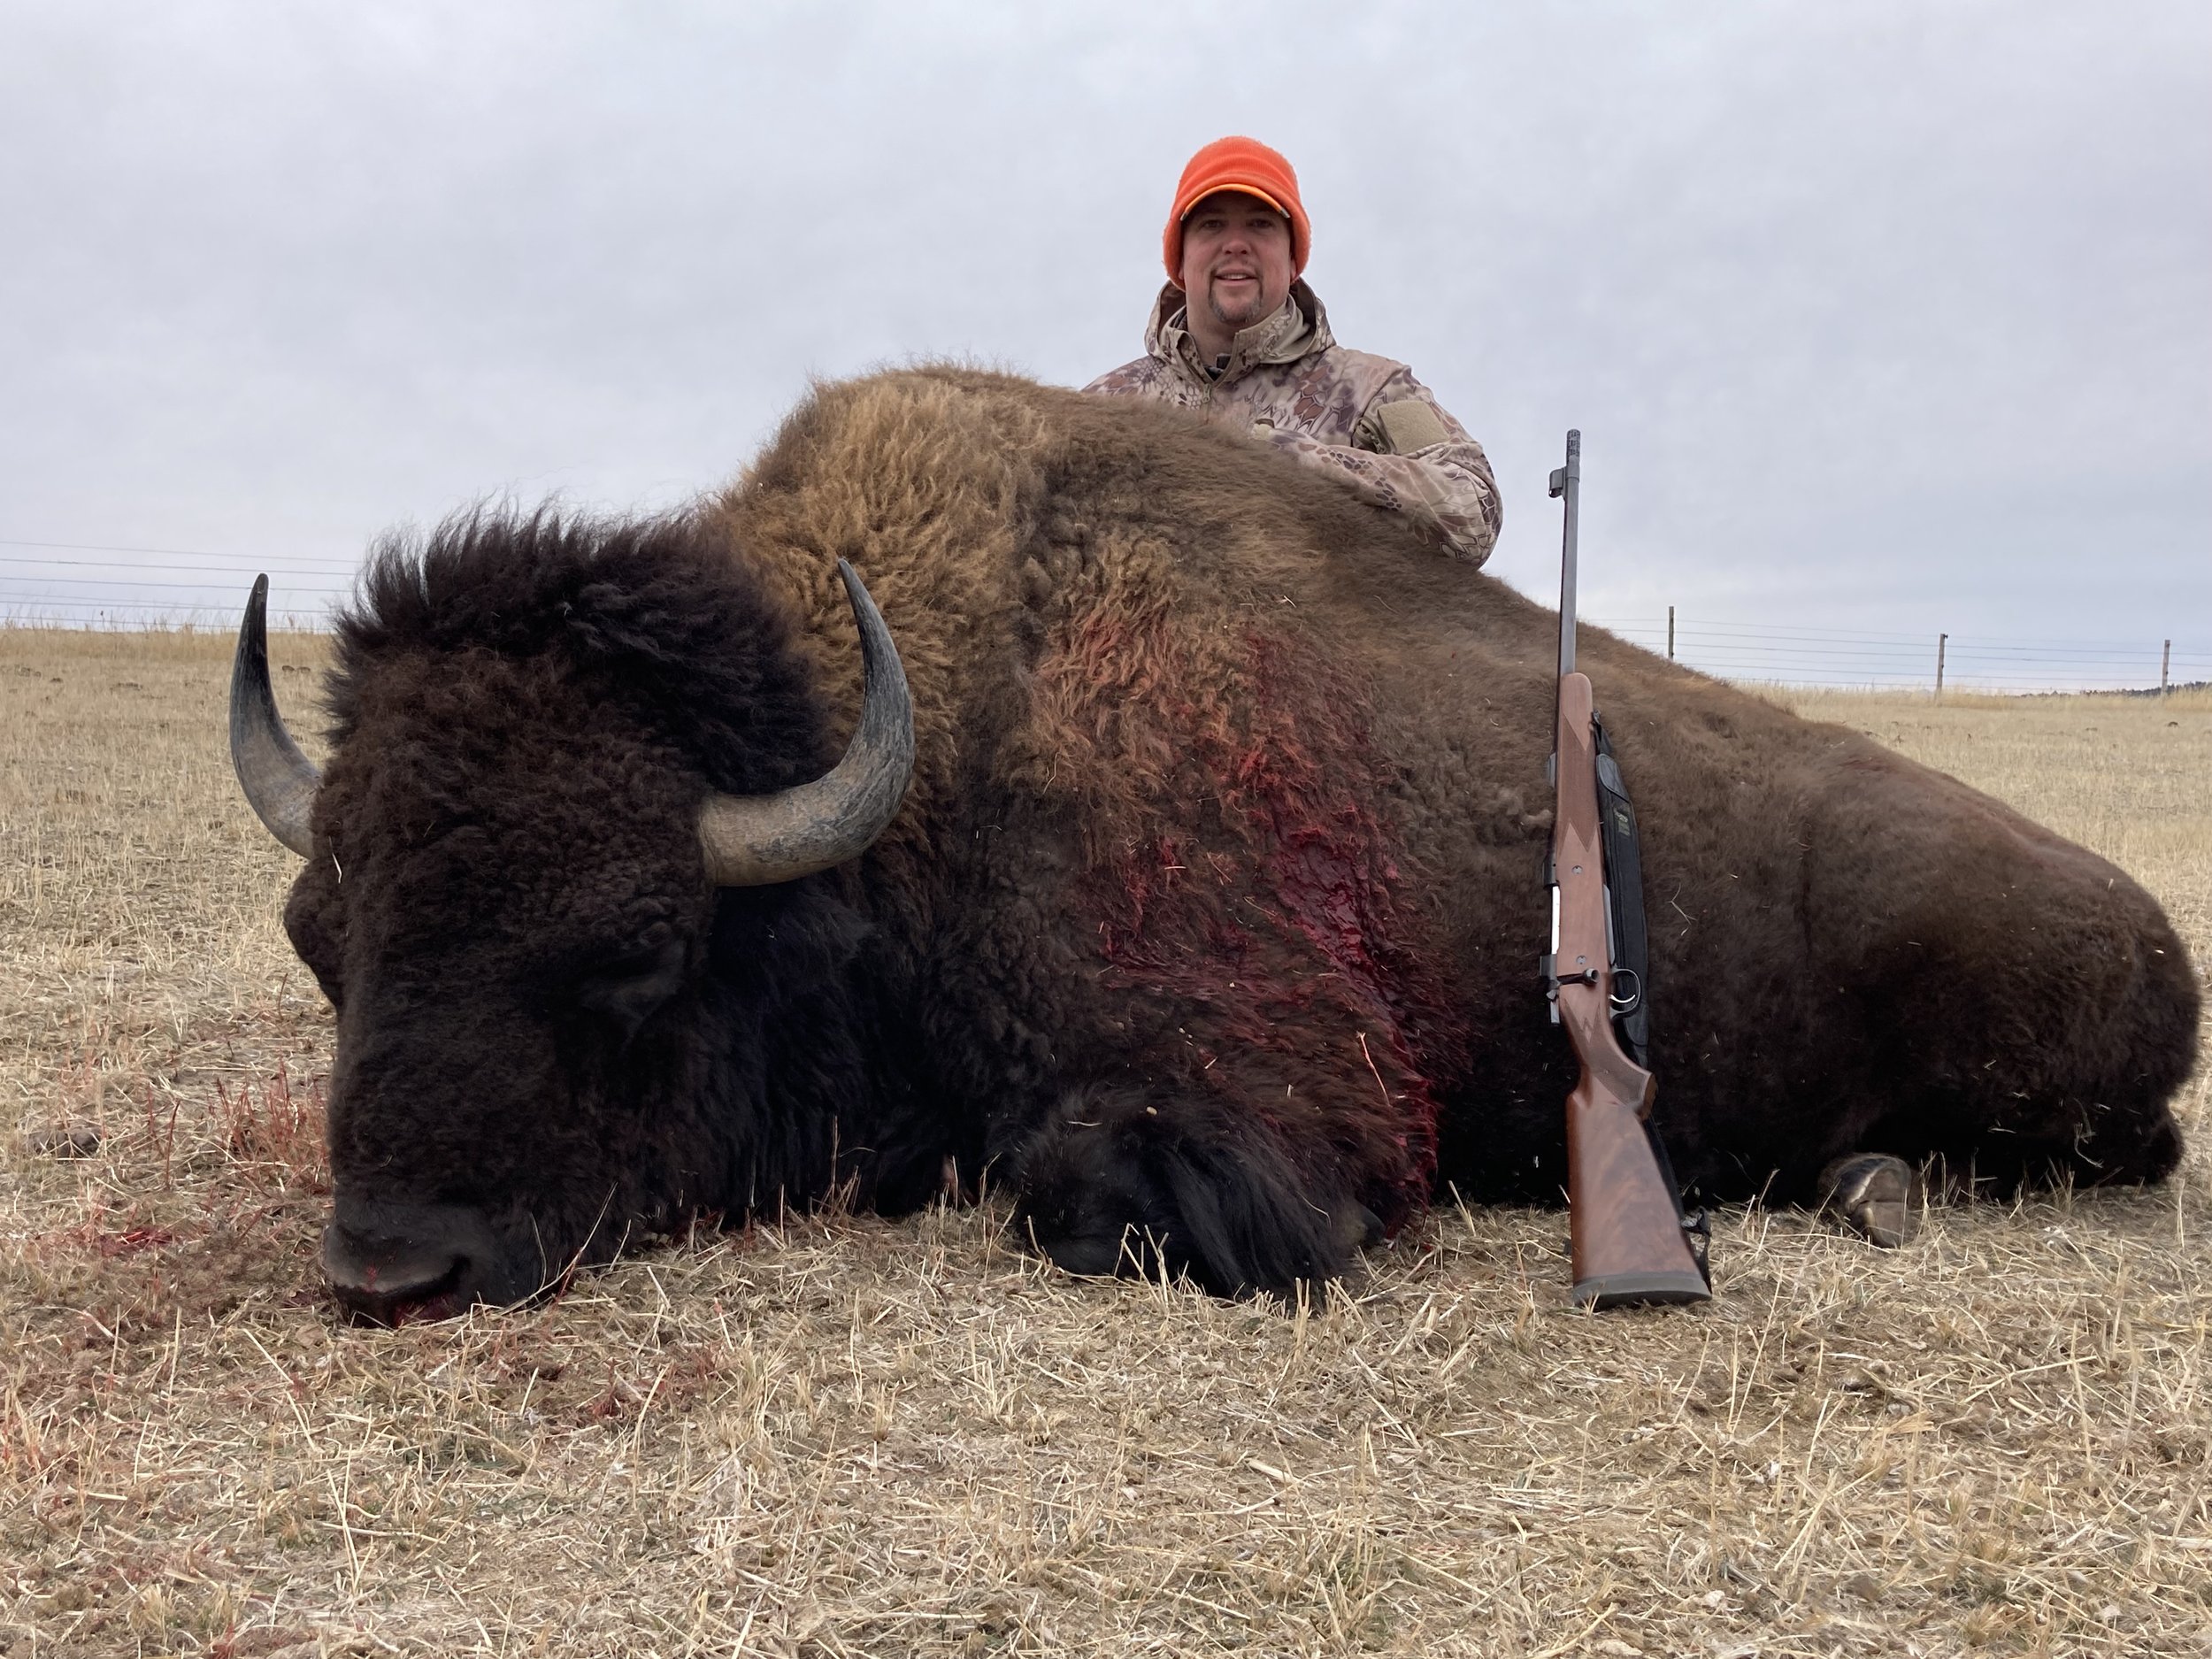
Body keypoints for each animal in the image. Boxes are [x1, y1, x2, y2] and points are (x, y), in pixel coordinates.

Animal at [228, 369, 2199, 1322]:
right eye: (322, 938)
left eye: (637, 950)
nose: (391, 1269)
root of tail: (2156, 938)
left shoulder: (1251, 1114)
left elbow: (1085, 1193)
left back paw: (1872, 1185)